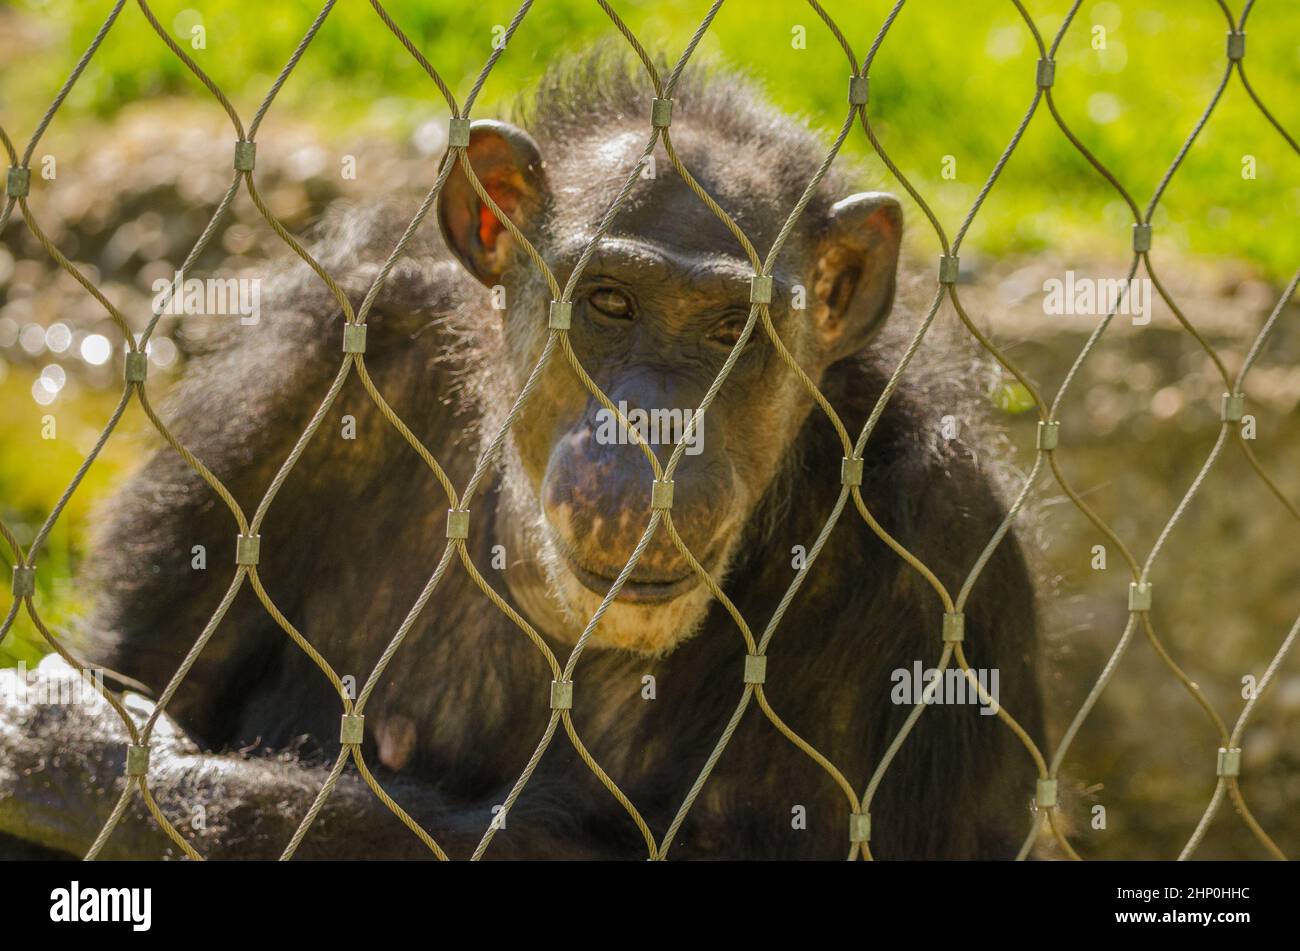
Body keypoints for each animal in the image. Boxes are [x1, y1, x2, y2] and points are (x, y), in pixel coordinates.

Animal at [0, 51, 1043, 860]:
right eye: (610, 302)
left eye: (729, 329)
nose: (654, 428)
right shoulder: (297, 386)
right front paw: (93, 746)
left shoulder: (944, 541)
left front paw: (81, 758)